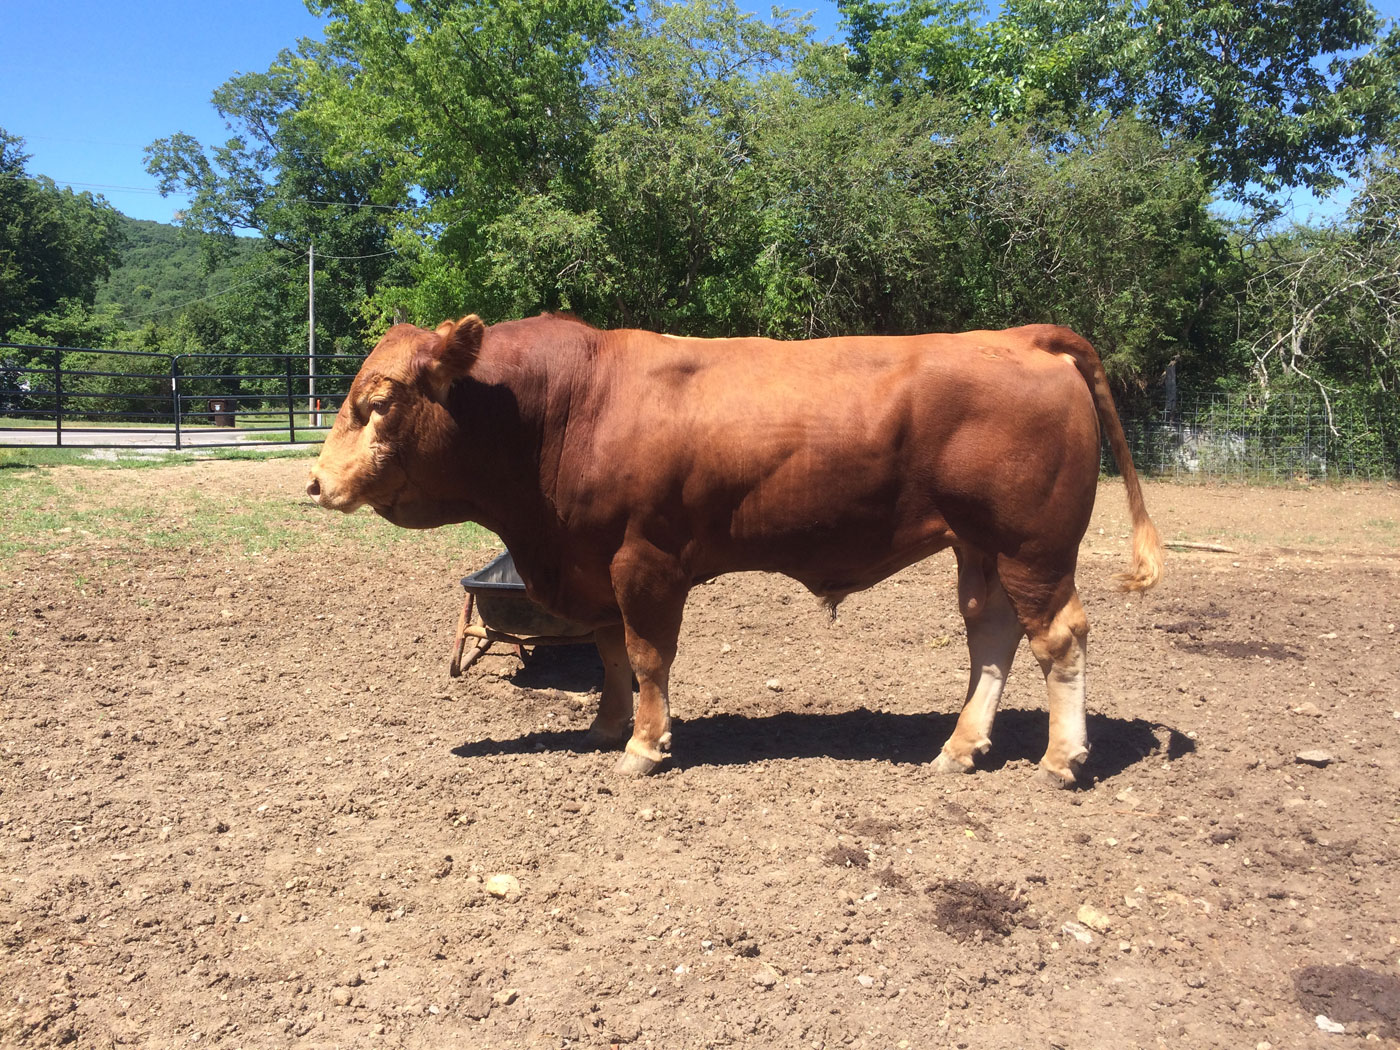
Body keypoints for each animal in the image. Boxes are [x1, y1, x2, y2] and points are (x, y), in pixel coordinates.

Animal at [307, 313, 1163, 786]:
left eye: (376, 402)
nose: (316, 482)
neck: (571, 405)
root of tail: (1020, 337)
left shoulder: (644, 560)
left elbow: (648, 654)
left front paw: (645, 746)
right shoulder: (596, 561)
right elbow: (610, 651)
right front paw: (607, 725)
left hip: (1033, 546)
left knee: (1059, 637)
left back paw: (1061, 758)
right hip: (979, 547)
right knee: (992, 633)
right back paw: (960, 746)